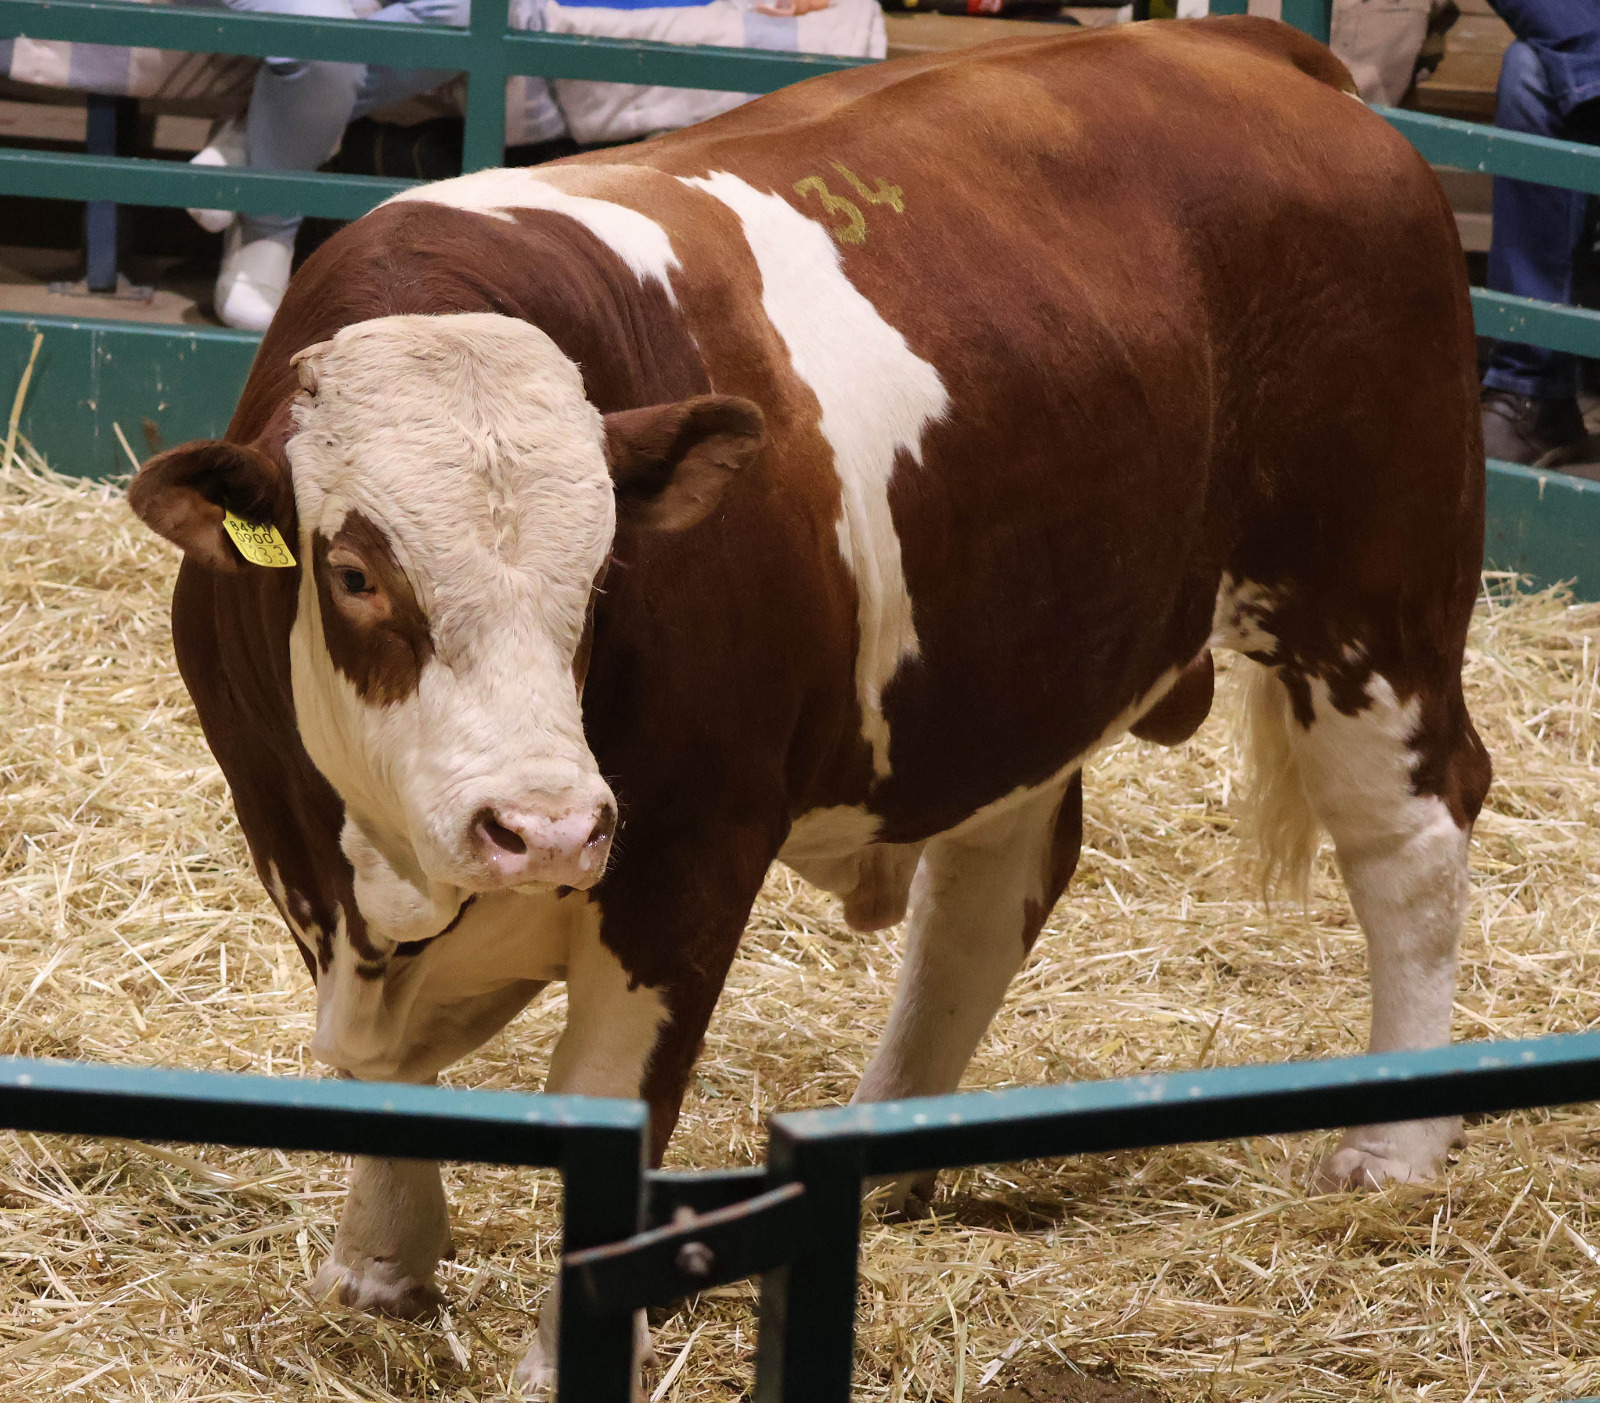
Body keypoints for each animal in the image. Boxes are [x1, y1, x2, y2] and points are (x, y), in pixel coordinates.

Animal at [126, 14, 1491, 1390]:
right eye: (354, 572)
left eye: (607, 567)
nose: (544, 827)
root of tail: (1248, 46)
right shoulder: (294, 834)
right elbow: (381, 1070)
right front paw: (380, 1260)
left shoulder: (687, 856)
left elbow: (605, 1099)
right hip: (1020, 678)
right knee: (990, 891)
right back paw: (882, 1150)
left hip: (1366, 600)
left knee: (1410, 838)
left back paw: (1392, 1145)